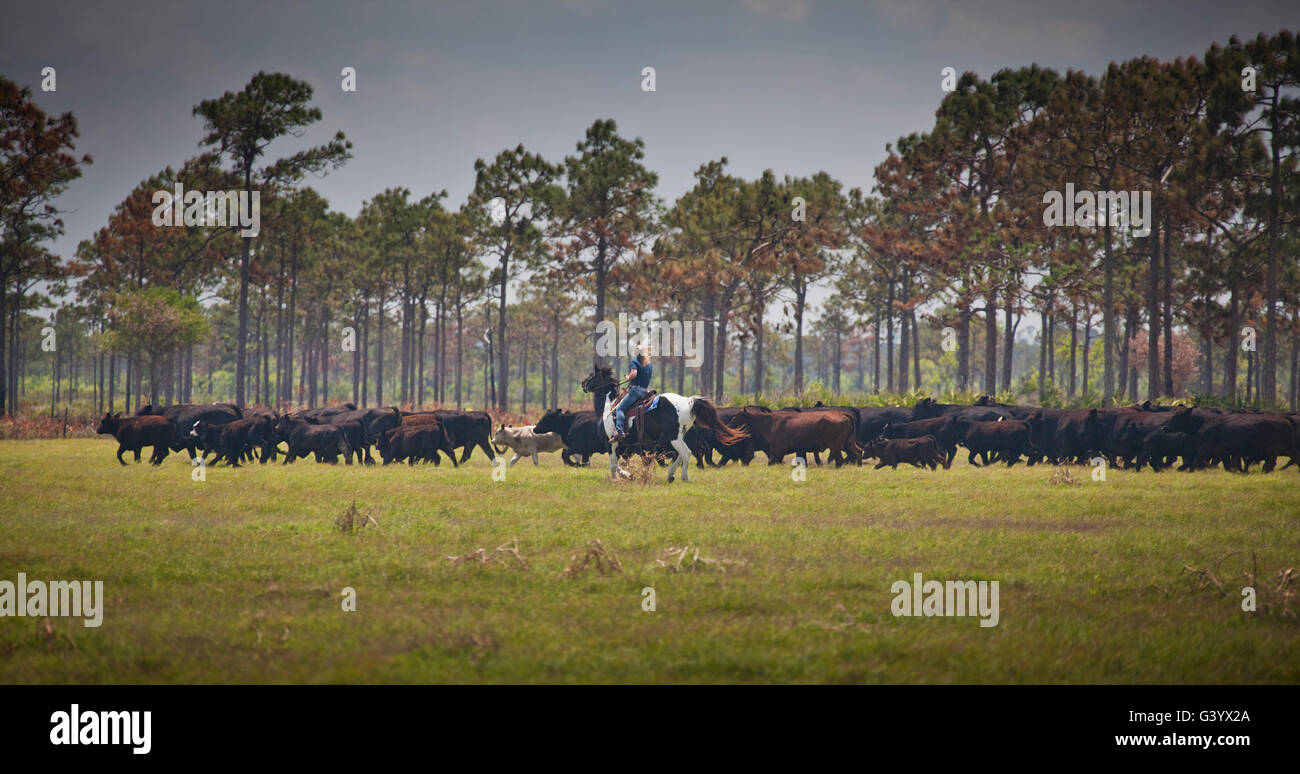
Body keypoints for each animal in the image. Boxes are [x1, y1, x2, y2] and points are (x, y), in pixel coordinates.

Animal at [580, 364, 748, 482]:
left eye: (592, 375)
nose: (583, 384)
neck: (612, 406)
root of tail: (689, 401)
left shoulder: (612, 443)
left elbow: (614, 465)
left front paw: (618, 479)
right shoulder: (625, 445)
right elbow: (620, 464)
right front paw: (629, 475)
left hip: (673, 437)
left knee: (685, 453)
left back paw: (683, 477)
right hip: (678, 436)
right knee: (681, 454)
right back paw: (670, 475)